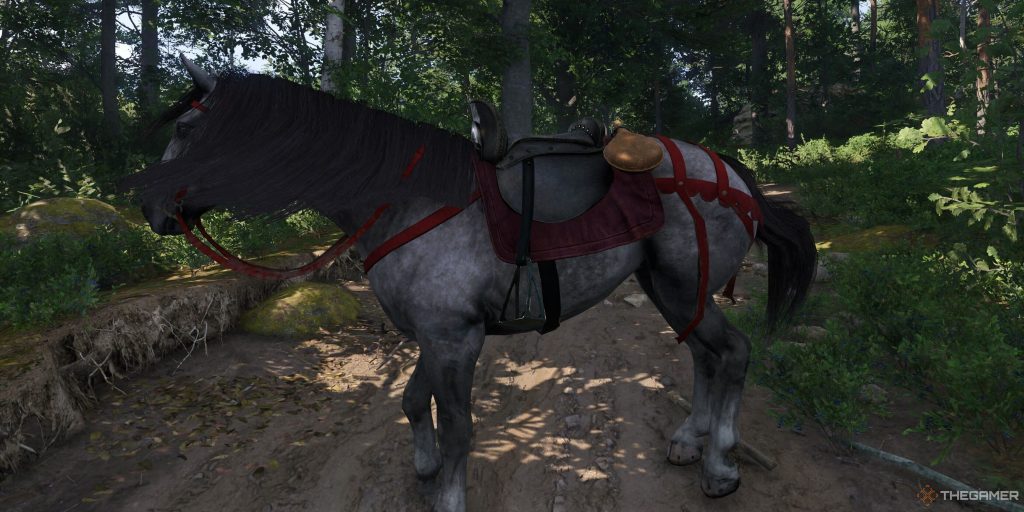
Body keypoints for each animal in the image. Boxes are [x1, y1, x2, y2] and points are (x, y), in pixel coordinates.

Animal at [122, 57, 816, 512]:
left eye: (185, 129)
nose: (149, 208)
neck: (407, 200)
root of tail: (730, 172)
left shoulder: (454, 337)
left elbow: (458, 424)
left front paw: (449, 496)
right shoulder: (433, 335)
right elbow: (413, 401)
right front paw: (427, 469)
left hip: (680, 284)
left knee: (732, 353)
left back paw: (720, 464)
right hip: (665, 288)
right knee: (704, 354)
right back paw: (688, 441)